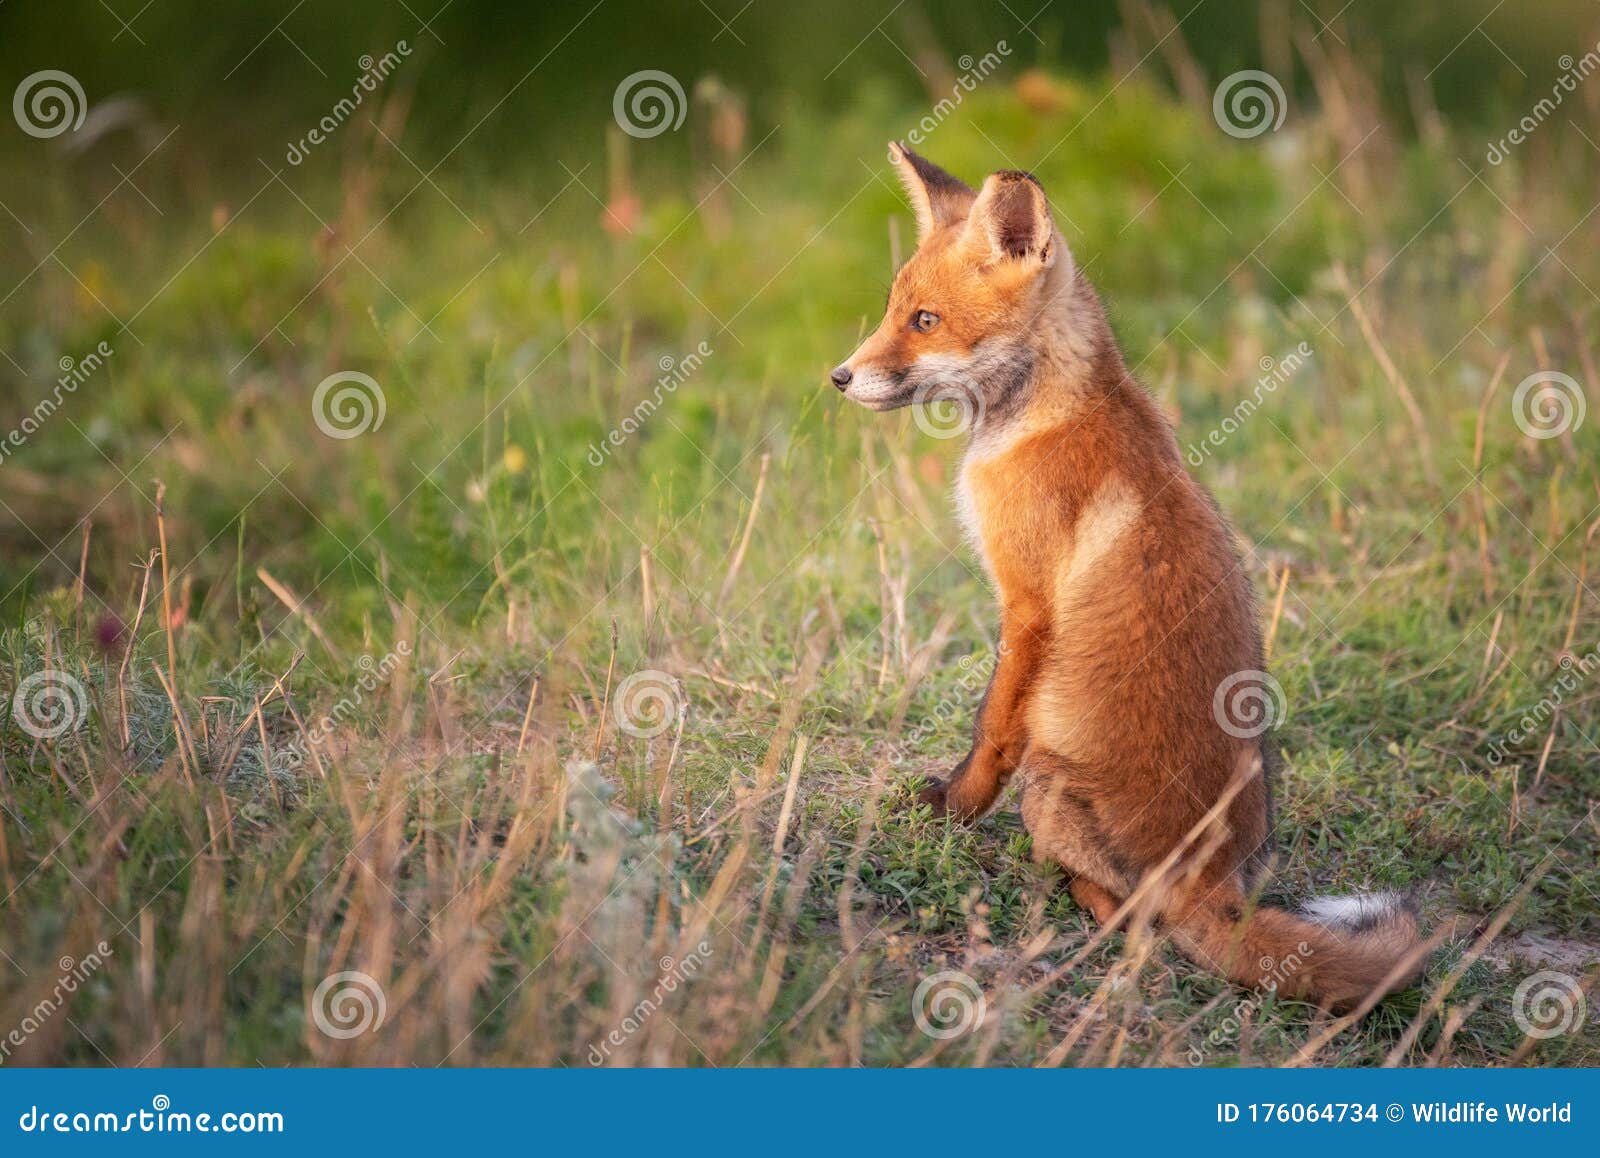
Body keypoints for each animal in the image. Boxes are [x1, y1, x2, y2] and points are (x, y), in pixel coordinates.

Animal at [830, 143, 1423, 1009]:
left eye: (925, 321)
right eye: (893, 310)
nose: (838, 377)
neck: (1043, 414)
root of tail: (1218, 884)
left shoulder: (1028, 605)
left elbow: (991, 729)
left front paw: (954, 809)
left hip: (1048, 785)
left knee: (1133, 917)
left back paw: (1067, 891)